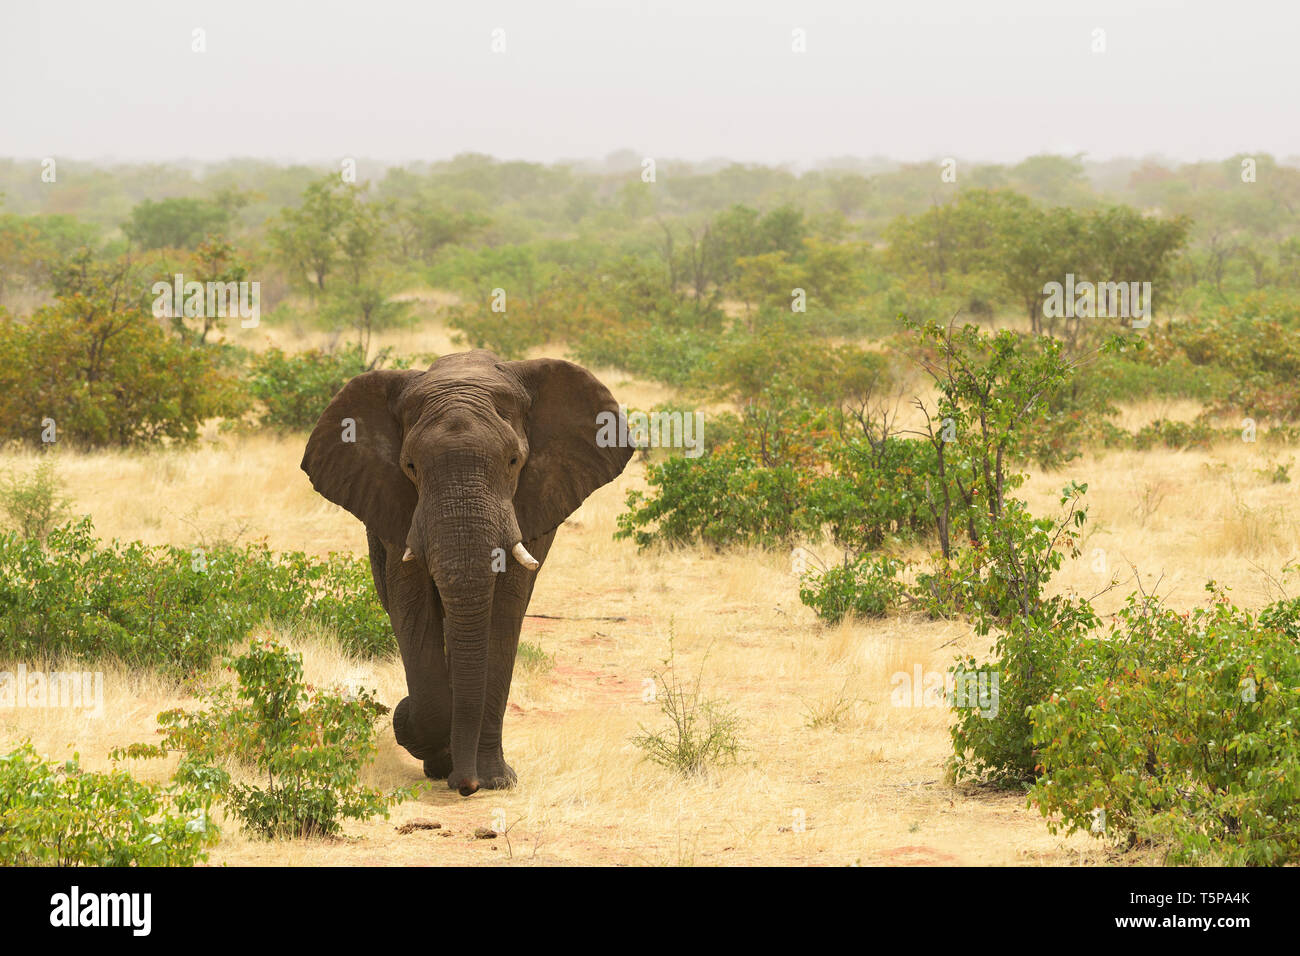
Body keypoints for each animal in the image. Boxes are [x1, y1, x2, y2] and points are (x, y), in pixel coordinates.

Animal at [301, 350, 632, 795]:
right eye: (410, 466)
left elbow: (504, 612)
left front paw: (494, 781)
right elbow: (413, 608)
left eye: (513, 461)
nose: (466, 785)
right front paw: (420, 732)